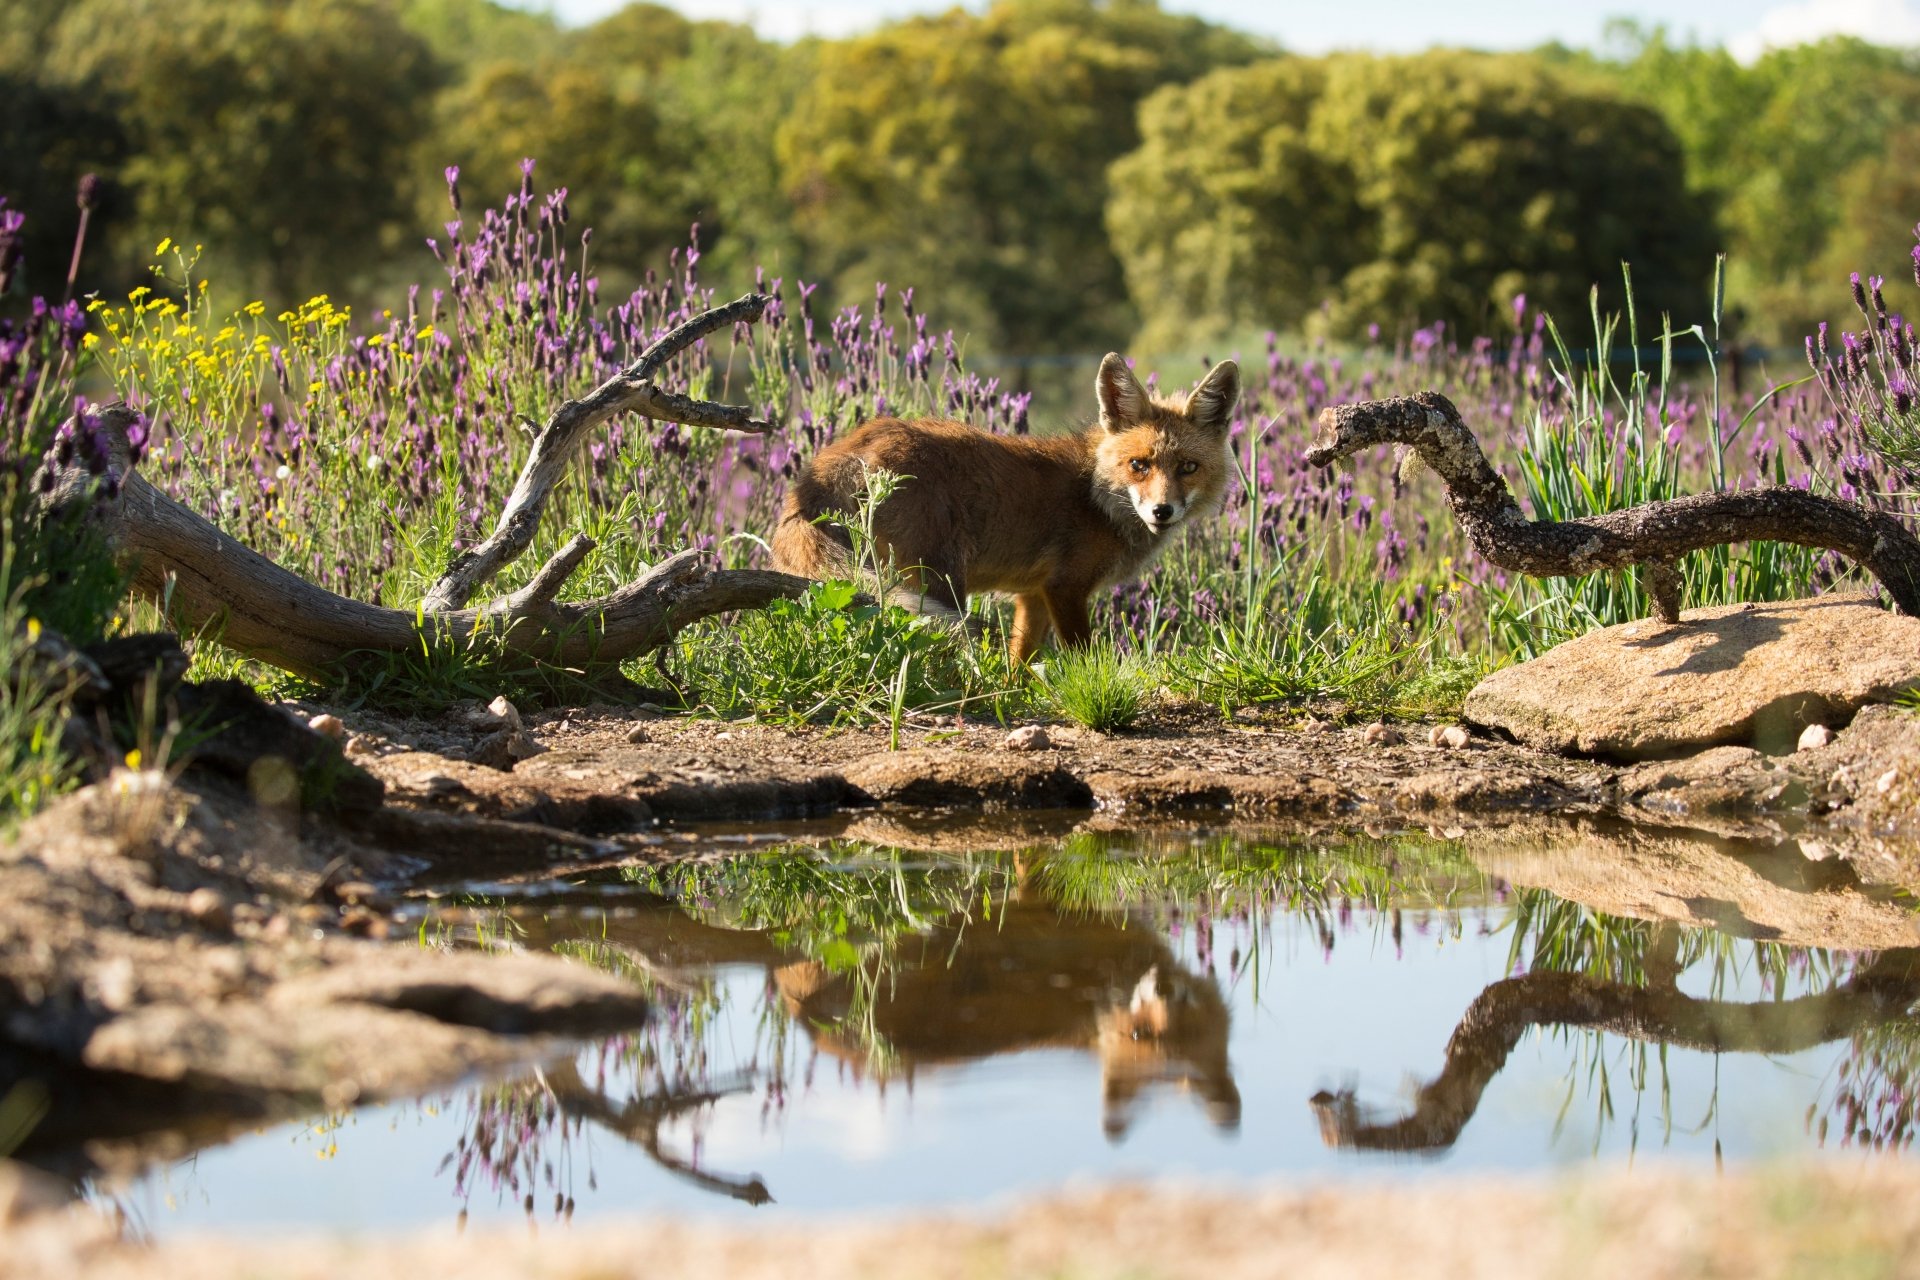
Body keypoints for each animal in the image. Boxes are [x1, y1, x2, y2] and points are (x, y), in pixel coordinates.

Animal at [771, 352, 1241, 660]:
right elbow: (1083, 657)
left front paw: (1012, 695)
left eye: (1188, 467)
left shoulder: (1034, 595)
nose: (1162, 511)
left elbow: (1019, 661)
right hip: (940, 581)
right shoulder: (1065, 588)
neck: (1096, 494)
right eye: (1139, 465)